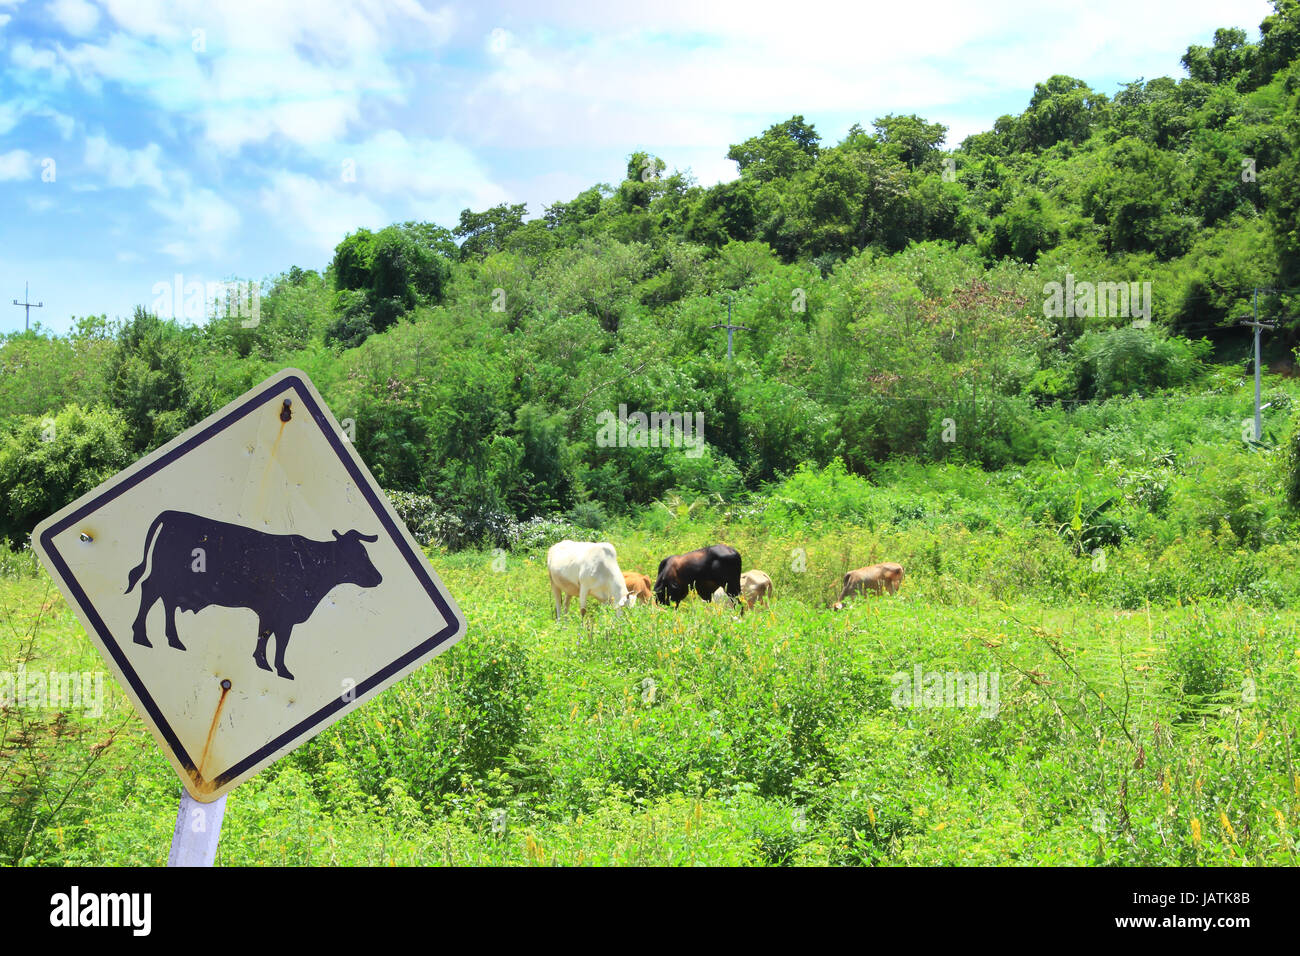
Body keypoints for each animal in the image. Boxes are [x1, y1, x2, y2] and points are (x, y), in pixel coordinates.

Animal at [124, 510, 383, 680]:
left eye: (365, 552)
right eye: (358, 555)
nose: (378, 578)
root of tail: (171, 514)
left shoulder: (274, 614)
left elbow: (267, 637)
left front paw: (265, 664)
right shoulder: (281, 614)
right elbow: (278, 641)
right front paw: (279, 669)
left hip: (174, 581)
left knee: (165, 601)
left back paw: (174, 640)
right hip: (165, 574)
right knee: (149, 592)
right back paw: (141, 636)